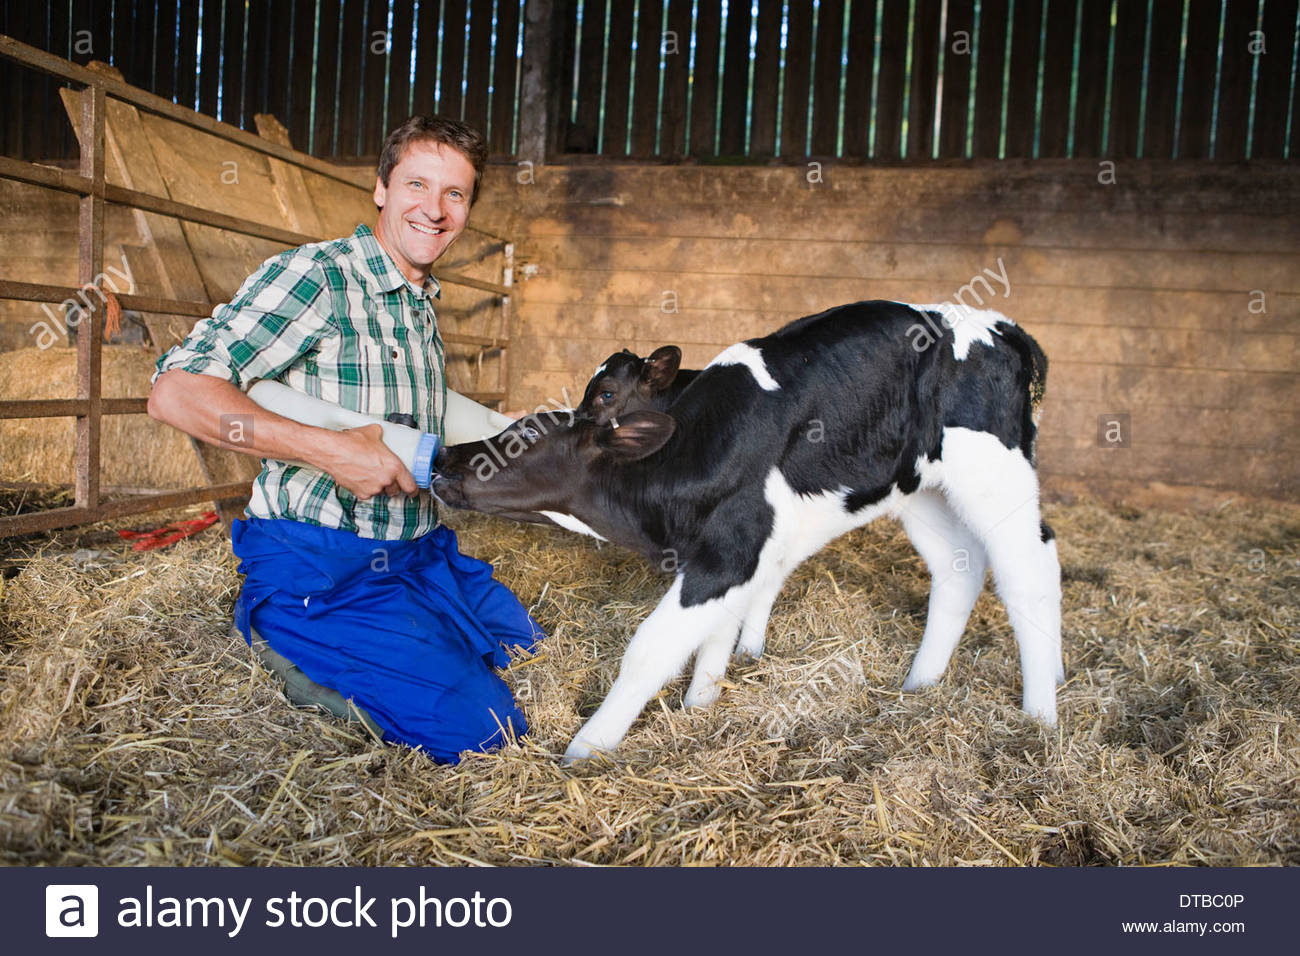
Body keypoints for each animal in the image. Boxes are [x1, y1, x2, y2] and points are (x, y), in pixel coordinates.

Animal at [432, 300, 1063, 763]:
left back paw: (1041, 714)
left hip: (994, 475)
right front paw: (700, 705)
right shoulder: (728, 556)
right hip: (921, 490)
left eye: (525, 434)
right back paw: (920, 684)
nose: (441, 457)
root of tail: (1000, 325)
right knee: (959, 568)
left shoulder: (731, 552)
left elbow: (650, 649)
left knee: (1030, 572)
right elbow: (715, 636)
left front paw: (586, 748)